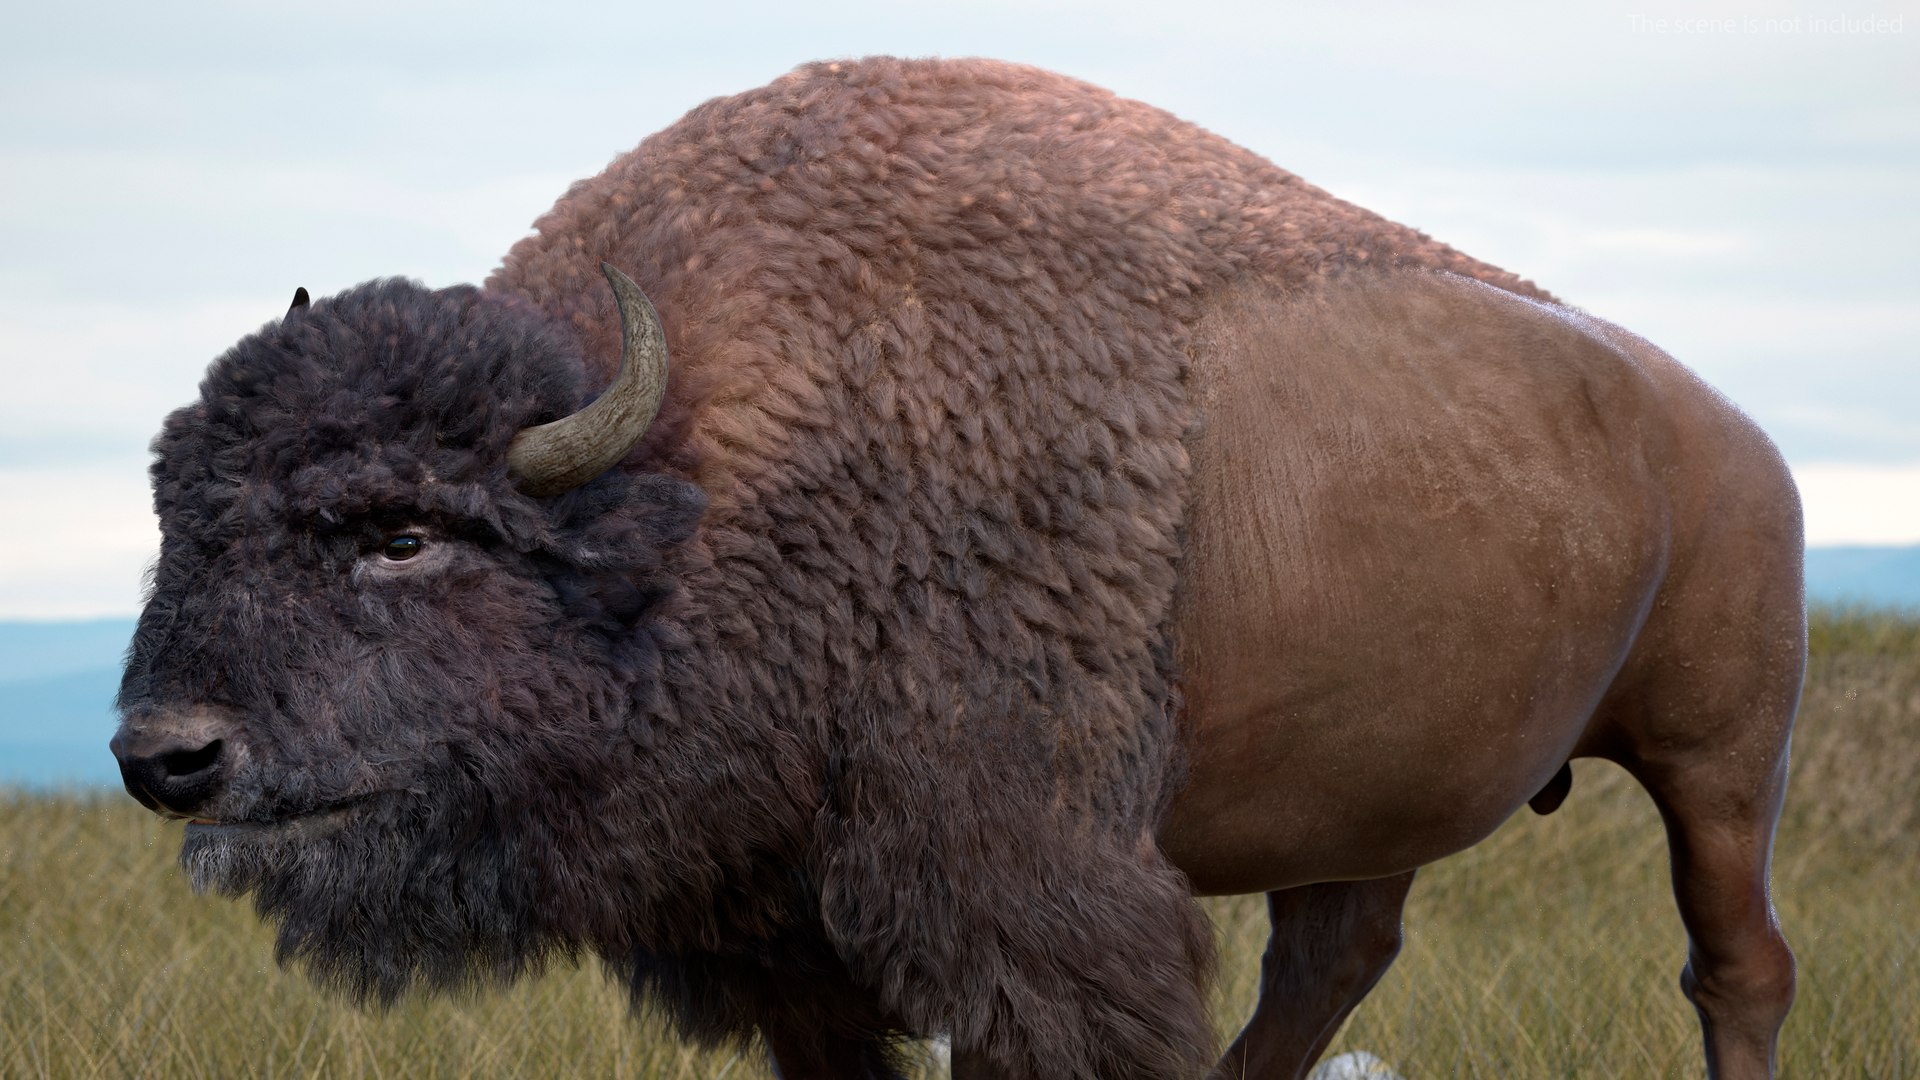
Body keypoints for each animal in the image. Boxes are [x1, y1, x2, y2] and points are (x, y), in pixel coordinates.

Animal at [110, 57, 1802, 1080]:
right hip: (1374, 793)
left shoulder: (1025, 905)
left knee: (1738, 965)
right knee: (1334, 959)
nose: (166, 756)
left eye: (405, 533)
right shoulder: (780, 937)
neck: (705, 485)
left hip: (1717, 757)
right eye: (178, 516)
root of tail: (1734, 438)